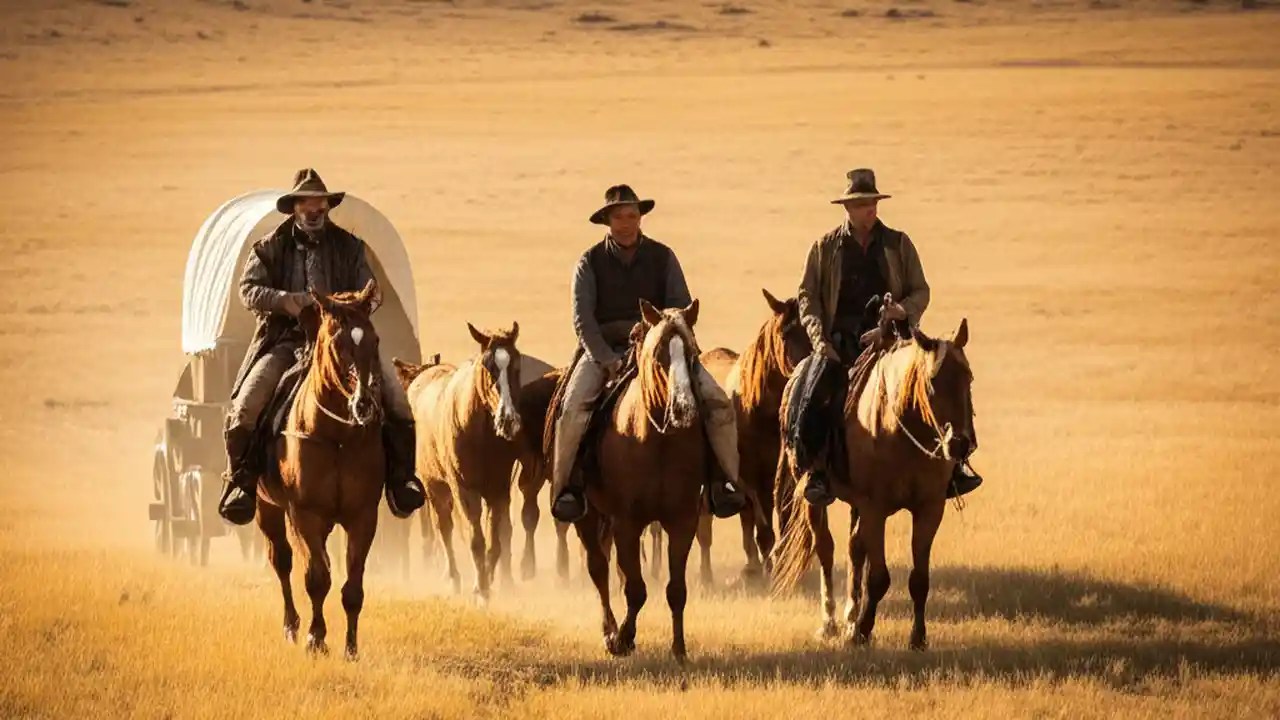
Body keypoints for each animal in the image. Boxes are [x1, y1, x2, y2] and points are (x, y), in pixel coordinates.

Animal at [254, 279, 386, 660]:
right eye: (337, 343)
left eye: (375, 340)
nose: (364, 404)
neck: (336, 438)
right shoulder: (305, 515)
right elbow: (316, 578)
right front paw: (316, 638)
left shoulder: (362, 517)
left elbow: (352, 586)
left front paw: (351, 648)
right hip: (267, 509)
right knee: (282, 561)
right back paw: (291, 626)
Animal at [404, 322, 524, 603]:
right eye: (487, 368)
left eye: (516, 367)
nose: (508, 420)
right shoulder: (464, 489)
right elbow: (475, 539)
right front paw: (480, 590)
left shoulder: (498, 490)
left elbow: (495, 540)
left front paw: (489, 581)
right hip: (435, 488)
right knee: (444, 529)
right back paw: (453, 578)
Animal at [573, 299, 710, 662]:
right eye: (659, 355)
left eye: (693, 353)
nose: (684, 411)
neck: (656, 441)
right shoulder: (627, 522)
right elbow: (635, 589)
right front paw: (621, 638)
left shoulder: (682, 520)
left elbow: (676, 590)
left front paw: (679, 649)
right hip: (588, 516)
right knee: (598, 567)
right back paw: (609, 630)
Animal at [772, 318, 976, 650]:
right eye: (932, 381)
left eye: (968, 377)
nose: (959, 444)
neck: (901, 434)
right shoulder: (875, 509)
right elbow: (878, 577)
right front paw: (862, 632)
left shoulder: (929, 509)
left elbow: (919, 579)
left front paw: (917, 637)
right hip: (813, 497)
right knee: (825, 548)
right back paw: (829, 623)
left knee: (855, 549)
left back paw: (850, 615)